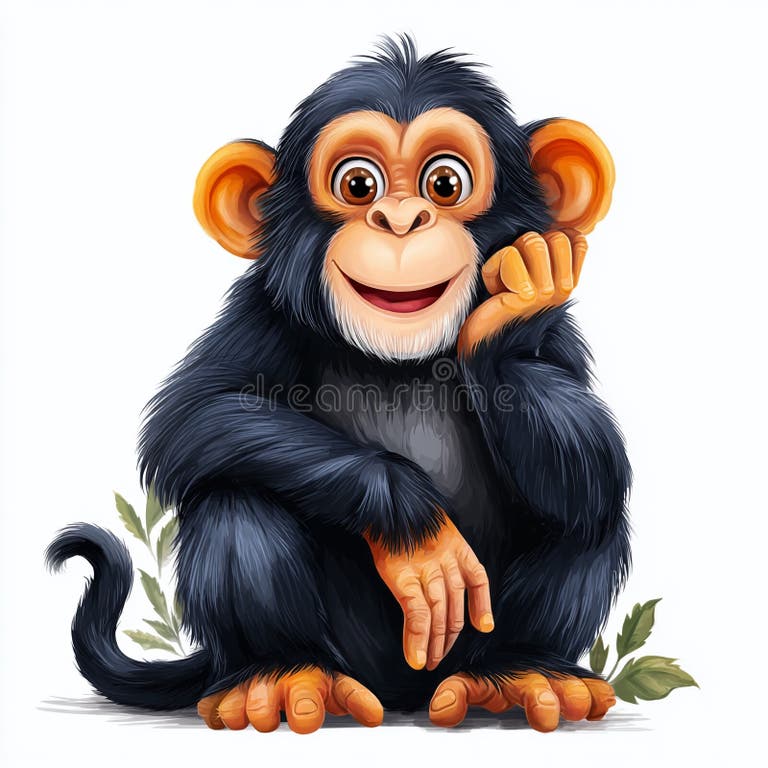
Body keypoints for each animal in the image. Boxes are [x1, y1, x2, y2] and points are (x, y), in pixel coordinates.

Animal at [47, 36, 631, 734]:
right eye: (358, 183)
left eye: (445, 182)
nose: (400, 219)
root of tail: (405, 696)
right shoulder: (259, 311)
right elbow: (198, 413)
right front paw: (416, 528)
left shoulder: (560, 337)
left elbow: (593, 450)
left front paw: (515, 302)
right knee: (236, 495)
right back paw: (282, 674)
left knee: (588, 505)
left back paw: (520, 670)